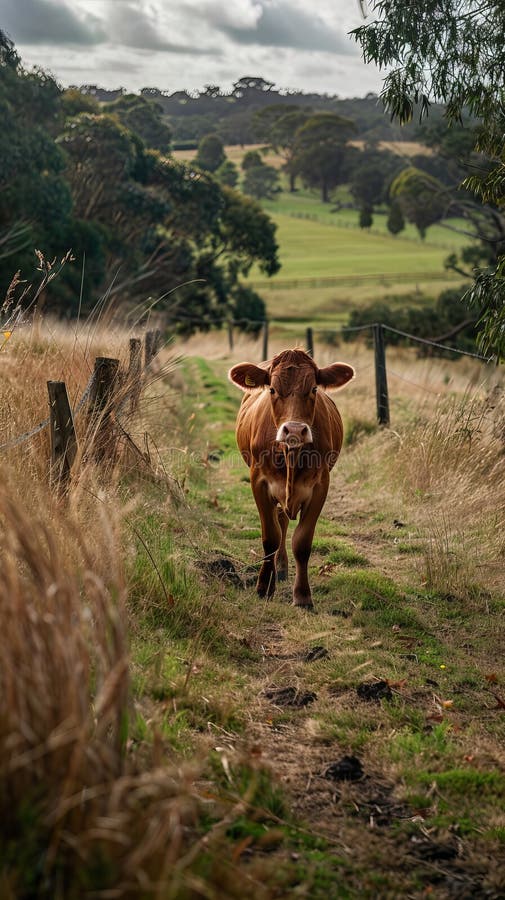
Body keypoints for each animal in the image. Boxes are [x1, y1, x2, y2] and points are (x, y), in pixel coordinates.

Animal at [229, 348, 354, 608]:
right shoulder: (259, 482)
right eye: (272, 390)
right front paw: (263, 587)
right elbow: (270, 538)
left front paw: (303, 596)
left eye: (314, 389)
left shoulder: (320, 486)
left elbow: (302, 542)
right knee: (280, 523)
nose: (295, 430)